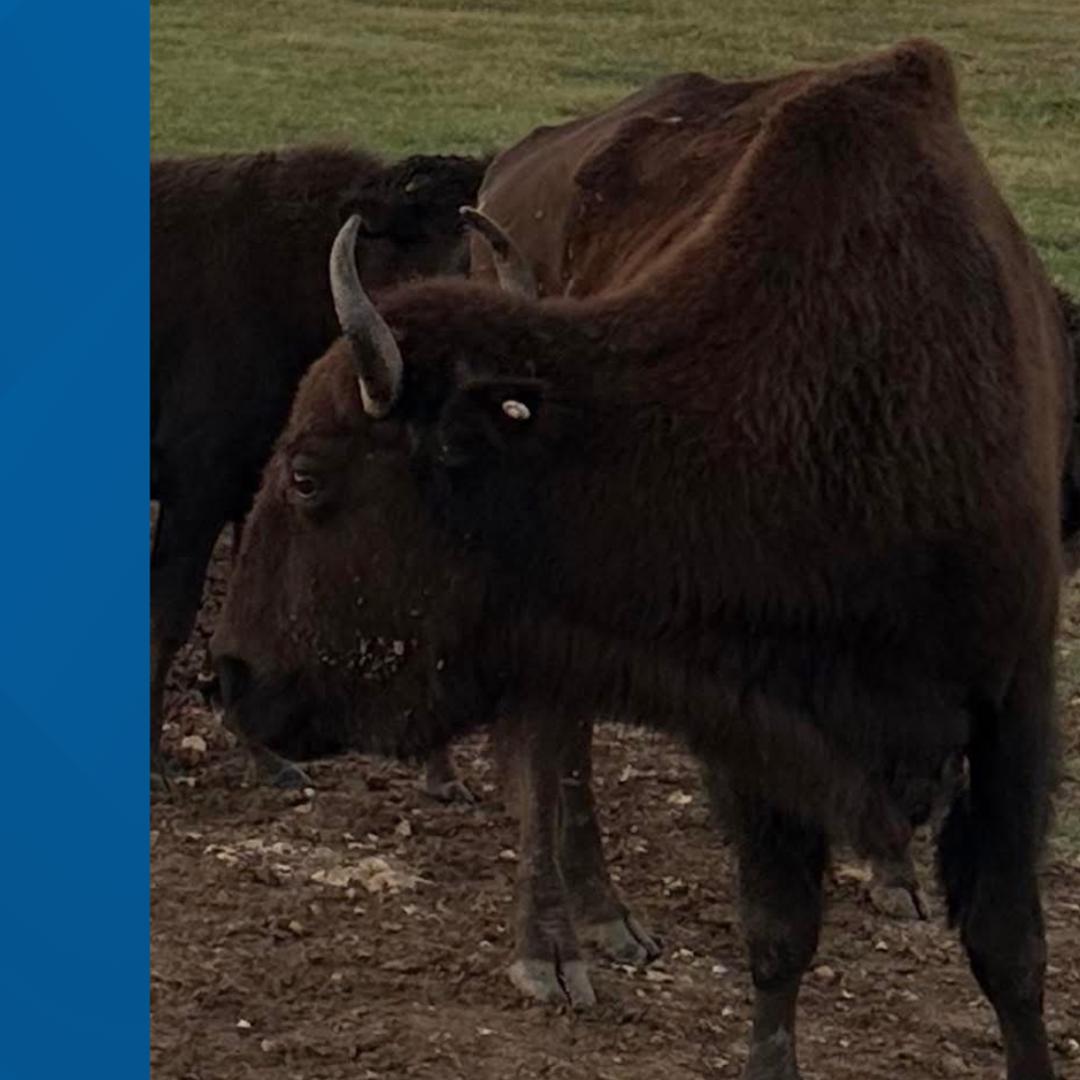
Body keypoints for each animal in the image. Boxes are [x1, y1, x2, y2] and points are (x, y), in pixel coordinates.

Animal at [213, 42, 1067, 1079]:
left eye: (305, 474)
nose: (233, 672)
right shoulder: (751, 722)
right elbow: (779, 932)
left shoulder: (1012, 700)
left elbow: (1009, 949)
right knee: (555, 762)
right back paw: (562, 946)